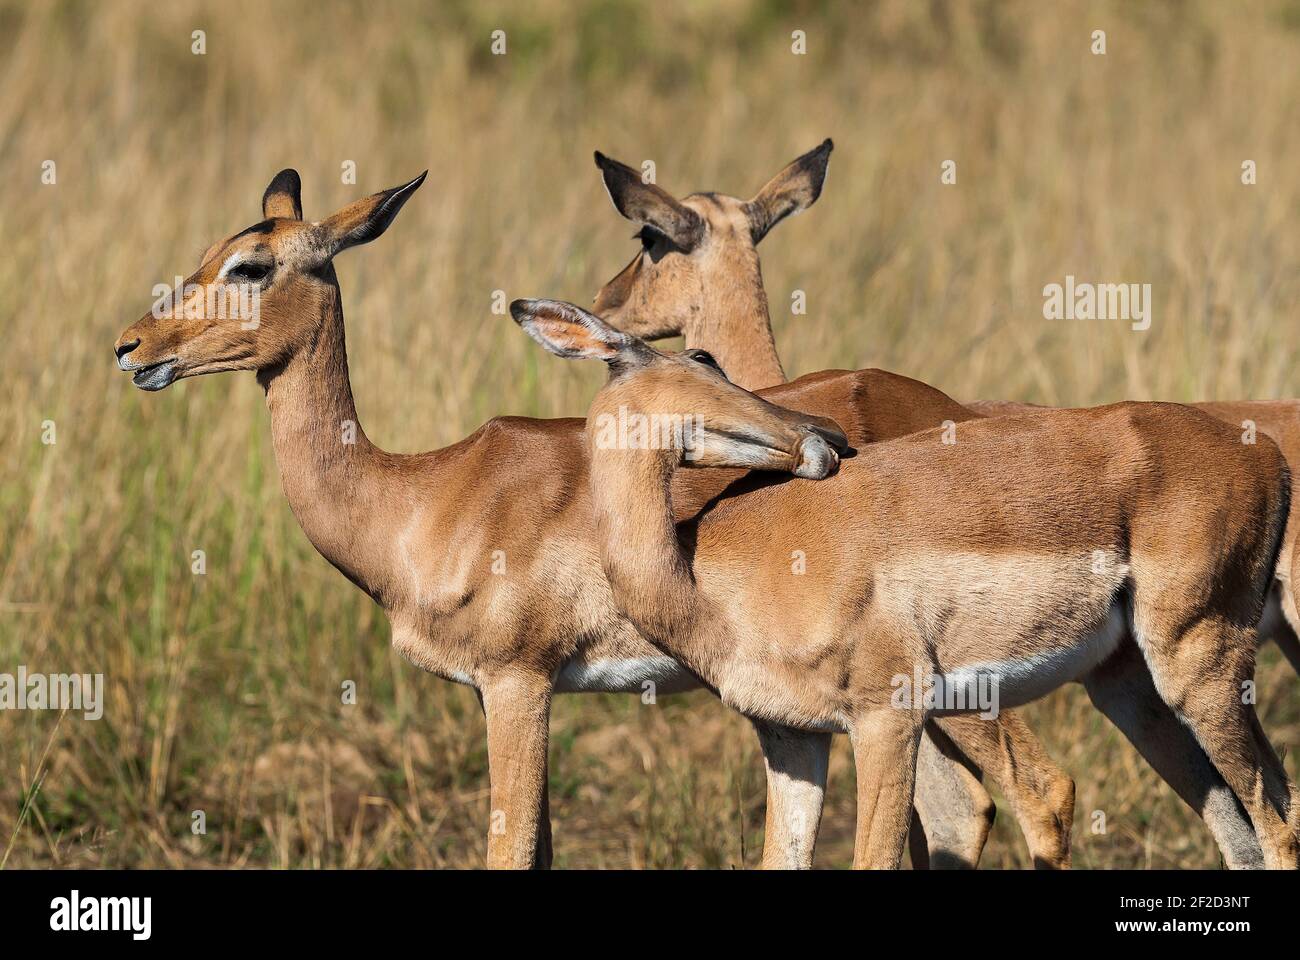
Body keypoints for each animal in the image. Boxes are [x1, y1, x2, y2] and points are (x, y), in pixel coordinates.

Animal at [113, 168, 1025, 868]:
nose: (131, 346)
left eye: (249, 264)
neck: (418, 499)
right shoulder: (502, 691)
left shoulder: (519, 681)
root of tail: (953, 409)